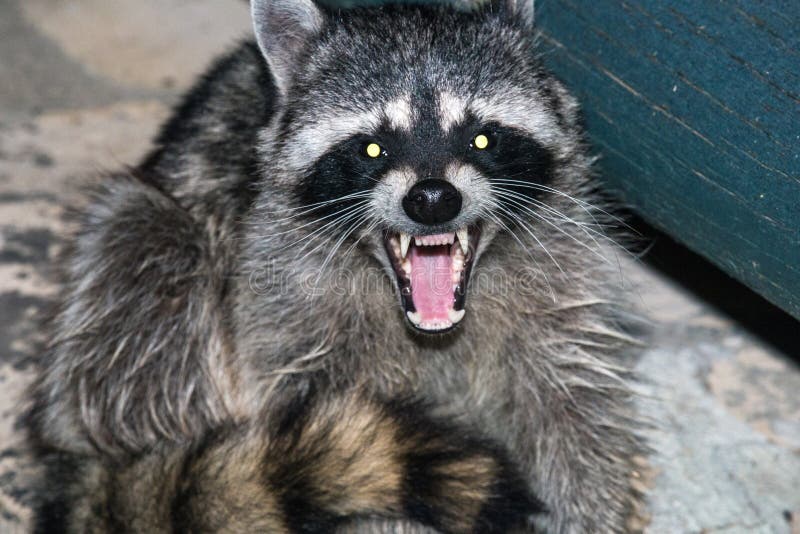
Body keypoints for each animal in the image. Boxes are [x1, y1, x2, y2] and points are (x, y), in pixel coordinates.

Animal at [29, 0, 643, 532]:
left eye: (481, 137)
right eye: (373, 148)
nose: (433, 199)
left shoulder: (558, 289)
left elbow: (574, 415)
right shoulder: (285, 315)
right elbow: (337, 438)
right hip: (145, 263)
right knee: (141, 243)